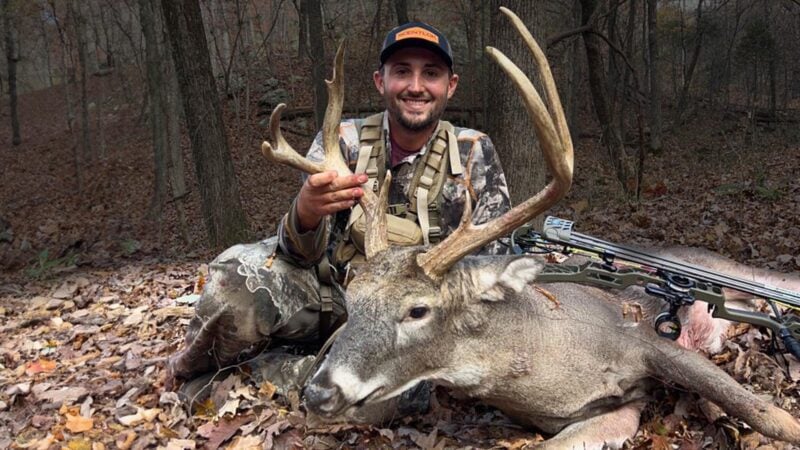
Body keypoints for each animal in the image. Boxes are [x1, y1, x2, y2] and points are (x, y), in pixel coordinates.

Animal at [261, 8, 800, 449]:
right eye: (352, 299)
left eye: (418, 309)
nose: (317, 392)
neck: (544, 356)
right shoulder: (606, 407)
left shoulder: (648, 341)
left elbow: (768, 414)